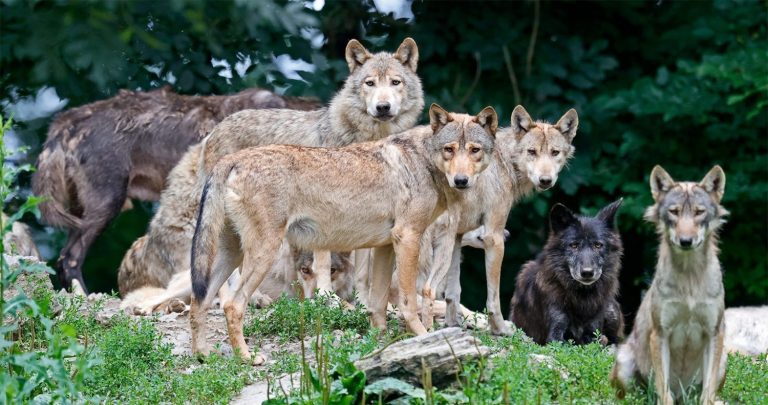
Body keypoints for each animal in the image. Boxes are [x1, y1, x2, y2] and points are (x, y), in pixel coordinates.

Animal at [117, 37, 423, 297]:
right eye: (370, 83)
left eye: (395, 82)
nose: (383, 107)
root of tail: (213, 132)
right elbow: (323, 263)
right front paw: (328, 299)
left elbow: (362, 270)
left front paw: (361, 302)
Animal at [189, 104, 498, 364]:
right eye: (449, 149)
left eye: (474, 150)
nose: (461, 181)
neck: (424, 160)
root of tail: (230, 160)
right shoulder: (407, 238)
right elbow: (409, 303)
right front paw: (423, 338)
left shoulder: (386, 246)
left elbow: (377, 304)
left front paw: (380, 343)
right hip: (262, 253)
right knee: (232, 304)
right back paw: (246, 357)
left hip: (230, 254)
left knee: (199, 301)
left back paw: (203, 355)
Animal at [410, 106, 579, 335]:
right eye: (532, 151)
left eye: (555, 152)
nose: (545, 180)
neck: (504, 162)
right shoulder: (494, 237)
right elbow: (493, 298)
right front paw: (500, 329)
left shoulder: (458, 238)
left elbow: (454, 293)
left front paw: (453, 325)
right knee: (426, 290)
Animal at [509, 200, 624, 345]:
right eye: (574, 245)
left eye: (598, 245)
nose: (587, 273)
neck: (581, 298)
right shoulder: (555, 335)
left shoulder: (593, 332)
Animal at [611, 165, 728, 405]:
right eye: (674, 212)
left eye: (699, 212)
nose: (685, 241)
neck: (690, 278)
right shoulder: (660, 334)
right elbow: (664, 391)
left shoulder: (714, 333)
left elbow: (708, 393)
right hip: (623, 361)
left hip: (723, 360)